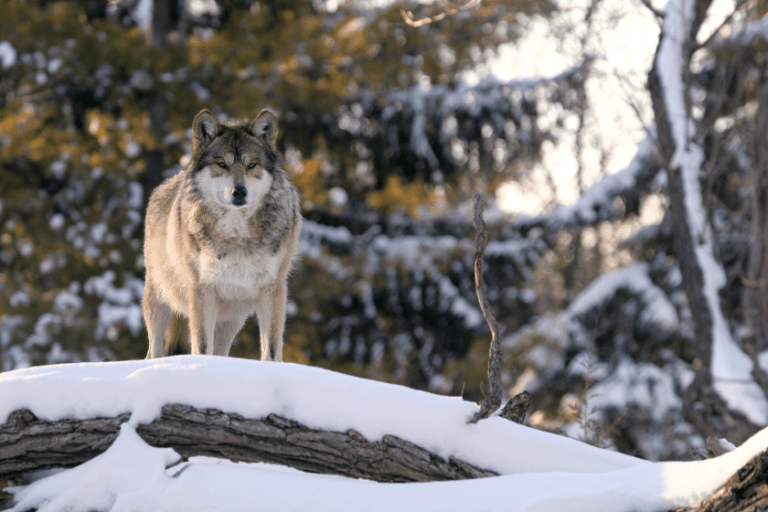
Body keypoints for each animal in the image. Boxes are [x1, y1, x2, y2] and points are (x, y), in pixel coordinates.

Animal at [142, 108, 301, 361]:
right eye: (221, 164)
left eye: (251, 165)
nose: (239, 192)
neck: (237, 235)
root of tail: (164, 185)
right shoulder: (202, 289)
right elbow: (201, 345)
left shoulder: (273, 288)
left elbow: (272, 348)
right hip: (160, 301)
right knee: (154, 351)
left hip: (231, 319)